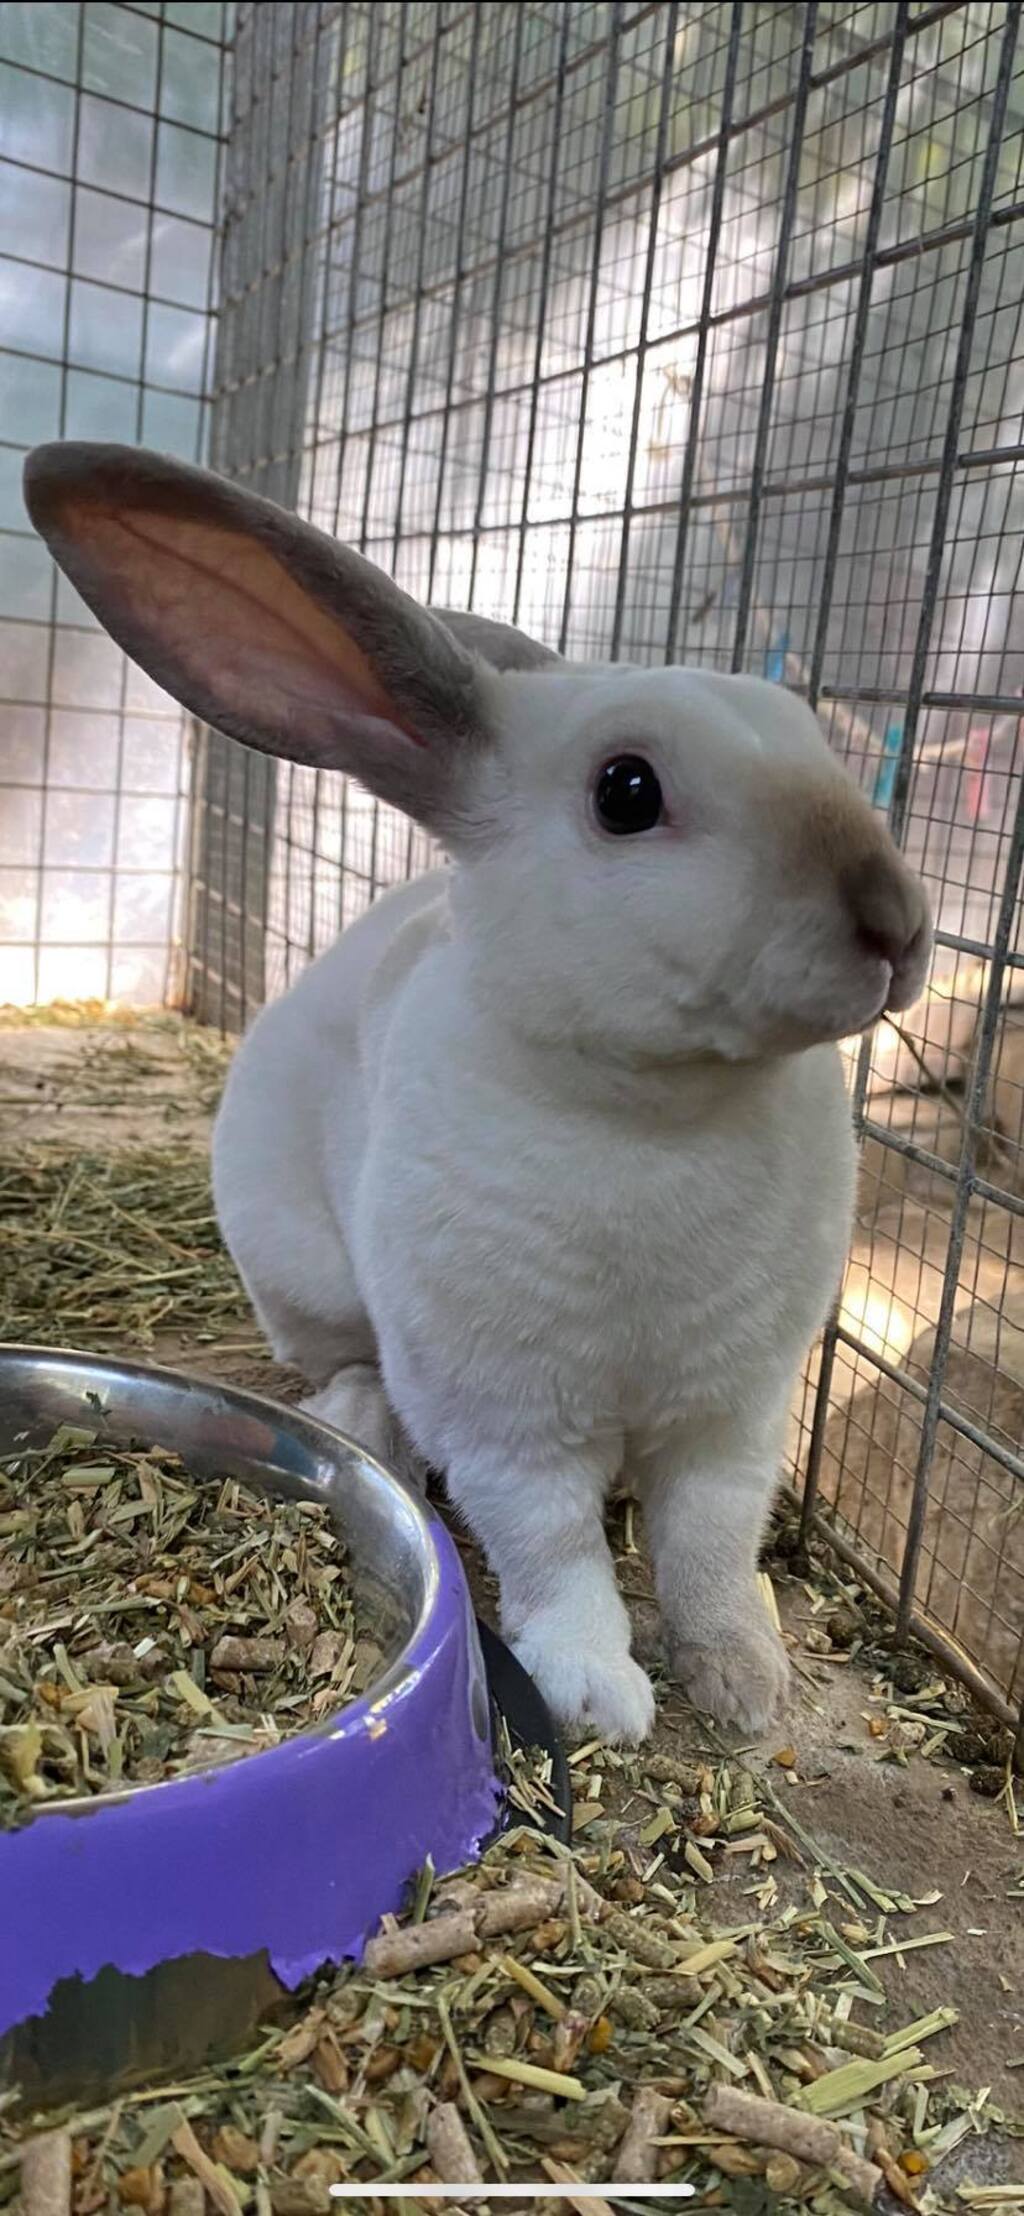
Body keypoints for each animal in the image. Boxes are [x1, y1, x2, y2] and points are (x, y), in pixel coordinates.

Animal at [24, 442, 933, 1745]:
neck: (660, 1113)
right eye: (624, 790)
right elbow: (555, 1552)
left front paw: (747, 1685)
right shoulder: (507, 1418)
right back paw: (370, 1428)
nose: (897, 924)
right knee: (344, 1365)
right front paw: (597, 1694)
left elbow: (708, 1547)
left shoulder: (733, 1416)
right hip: (304, 1280)